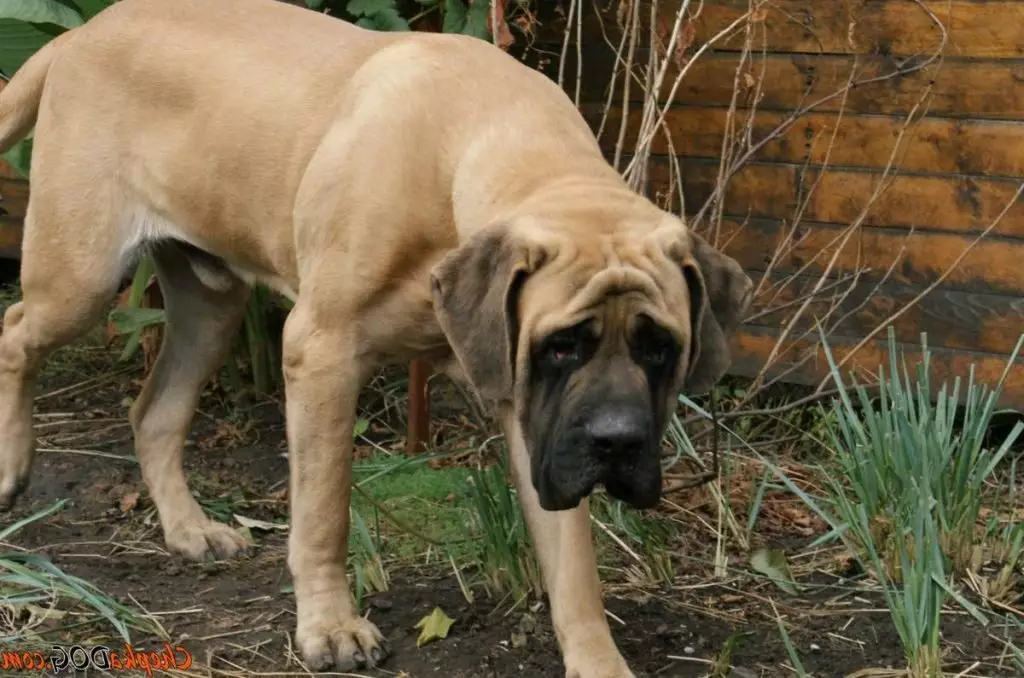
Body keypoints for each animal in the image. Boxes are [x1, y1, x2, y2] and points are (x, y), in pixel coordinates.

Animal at [0, 1, 753, 678]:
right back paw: (11, 468)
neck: (471, 149)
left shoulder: (535, 415)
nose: (617, 441)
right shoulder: (323, 352)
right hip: (80, 276)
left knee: (153, 412)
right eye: (563, 345)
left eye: (659, 346)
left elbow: (573, 563)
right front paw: (331, 626)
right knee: (14, 335)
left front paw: (598, 660)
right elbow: (324, 510)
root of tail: (80, 35)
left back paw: (189, 530)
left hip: (209, 305)